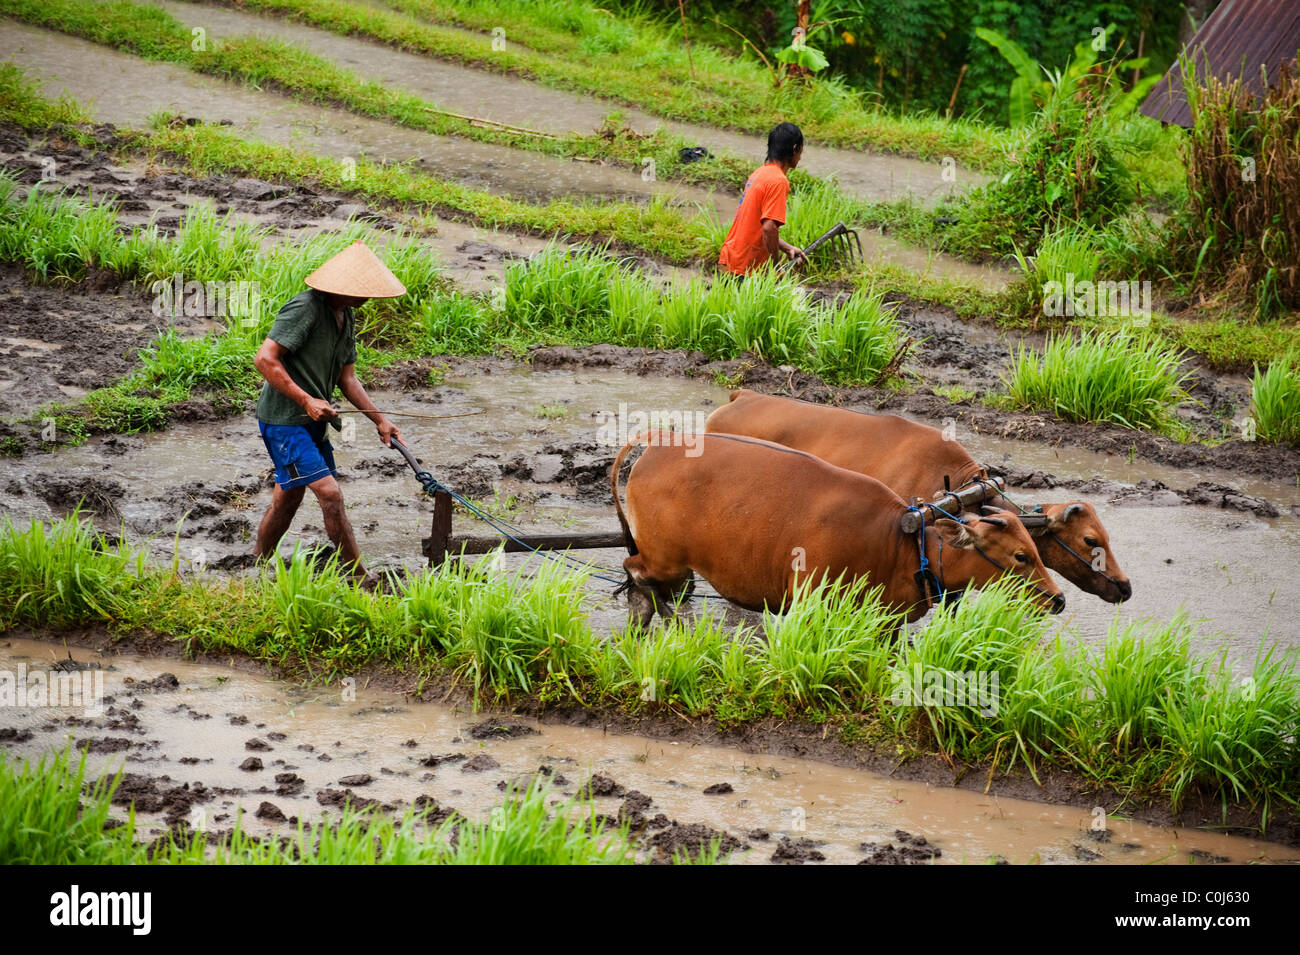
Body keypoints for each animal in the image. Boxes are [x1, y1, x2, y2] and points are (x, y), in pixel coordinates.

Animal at [609, 431, 1065, 628]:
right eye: (1020, 556)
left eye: (1035, 550)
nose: (1059, 600)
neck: (897, 542)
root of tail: (657, 443)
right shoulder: (811, 602)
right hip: (664, 560)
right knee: (638, 579)